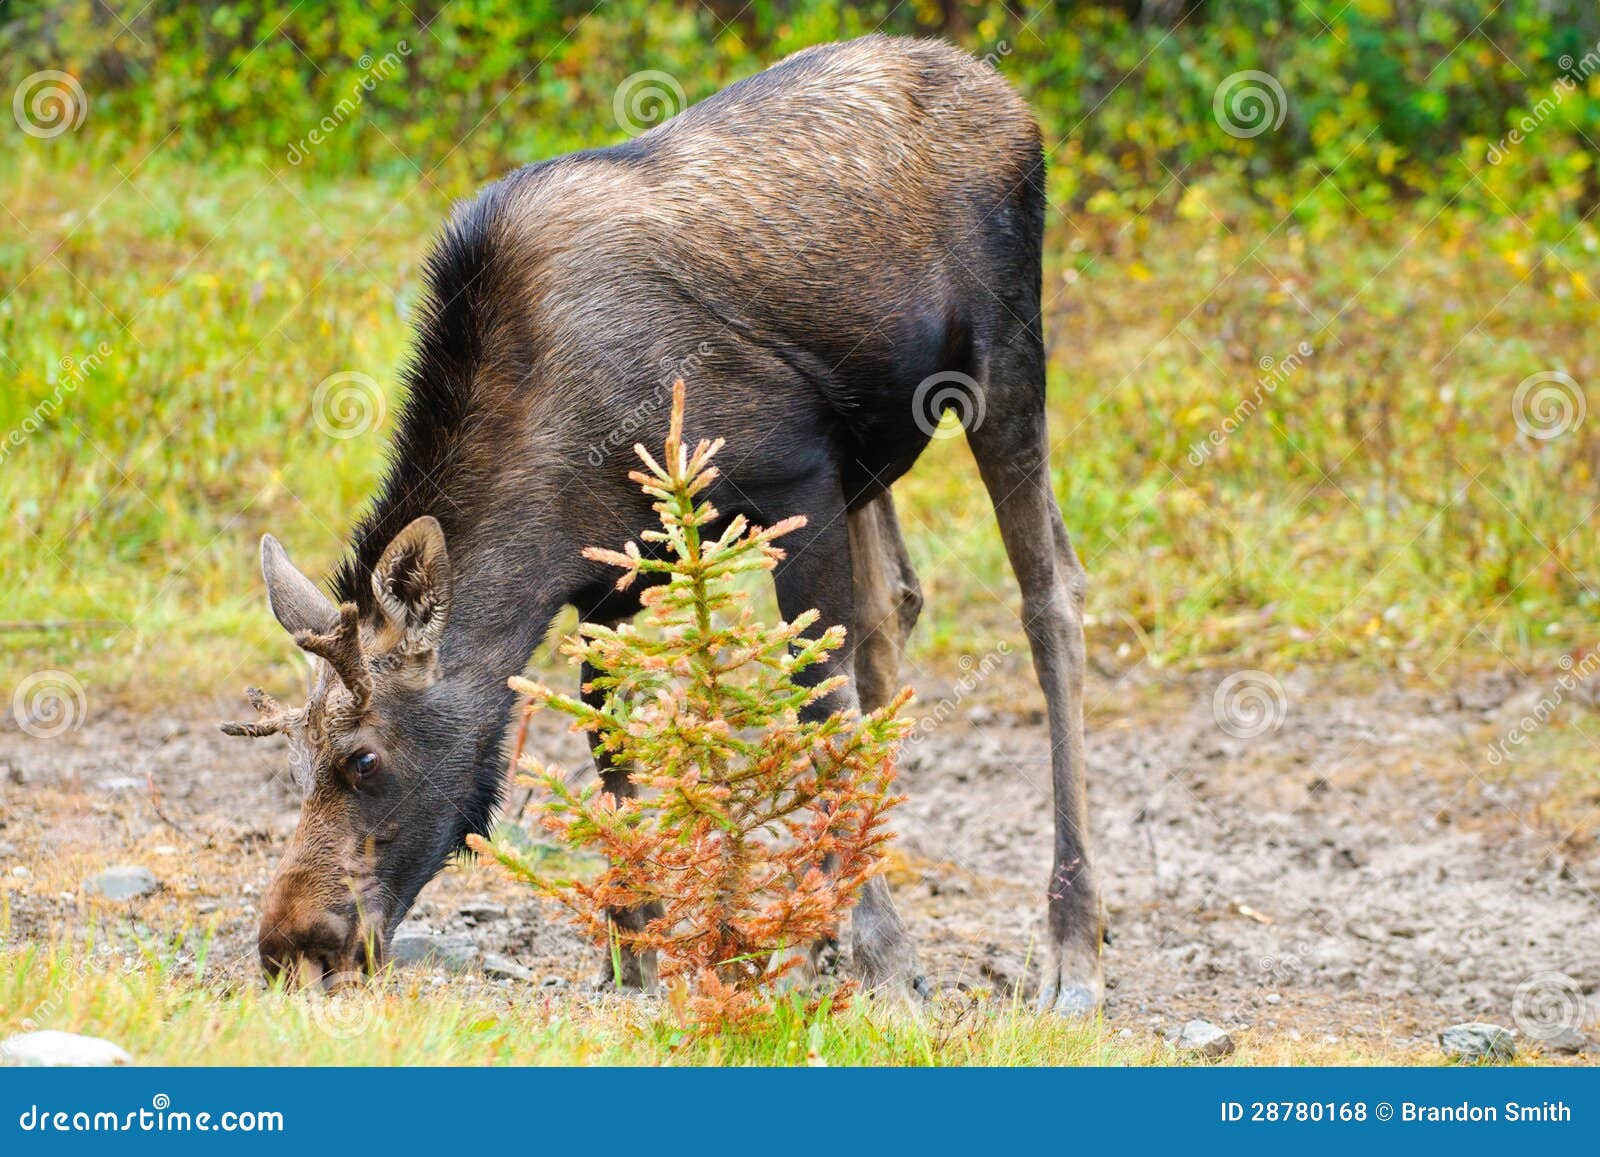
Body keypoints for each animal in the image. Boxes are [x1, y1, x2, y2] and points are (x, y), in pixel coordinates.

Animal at [222, 34, 1104, 1015]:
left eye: (365, 760)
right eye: (292, 761)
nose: (291, 943)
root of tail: (1012, 104)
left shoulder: (794, 478)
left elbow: (817, 705)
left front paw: (883, 960)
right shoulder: (611, 580)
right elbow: (611, 740)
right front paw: (631, 947)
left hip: (1002, 358)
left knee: (1049, 594)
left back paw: (1071, 946)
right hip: (875, 450)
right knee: (895, 609)